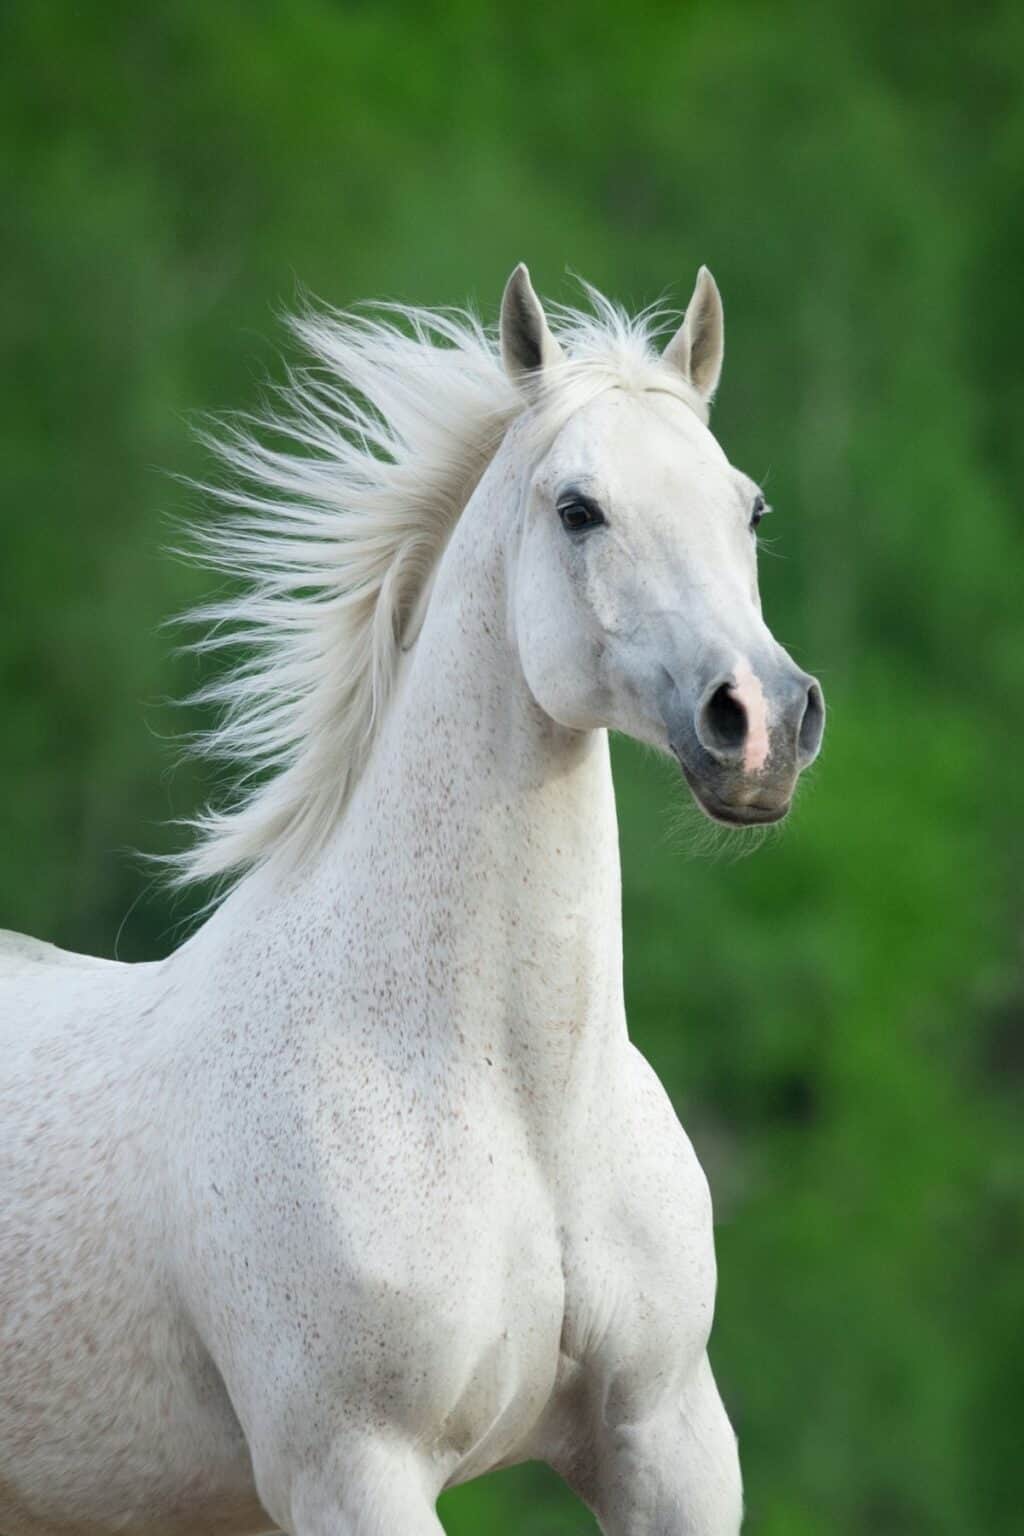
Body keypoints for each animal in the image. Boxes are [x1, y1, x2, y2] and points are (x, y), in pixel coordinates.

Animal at [0, 263, 824, 1536]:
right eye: (577, 509)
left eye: (749, 509)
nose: (762, 726)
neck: (514, 1102)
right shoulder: (354, 1466)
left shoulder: (669, 1443)